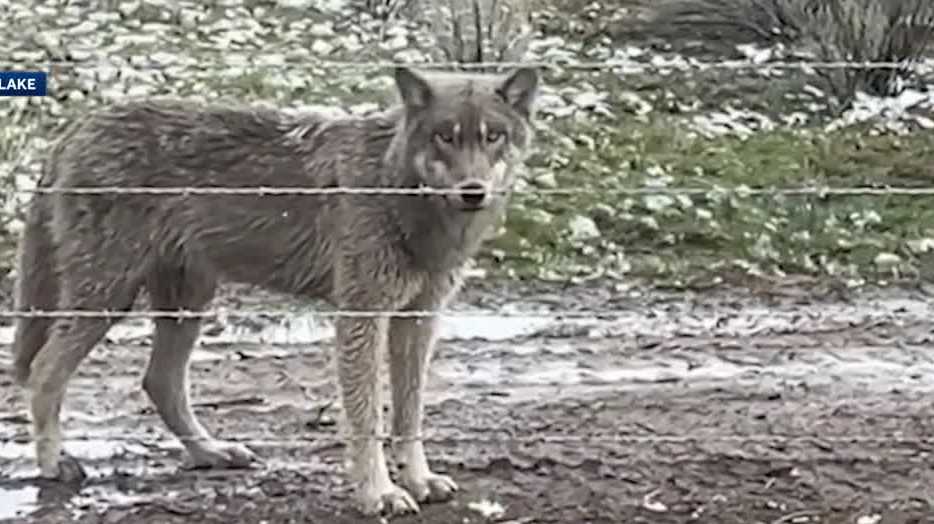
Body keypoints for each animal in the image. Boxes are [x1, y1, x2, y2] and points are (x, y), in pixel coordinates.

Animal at [10, 65, 539, 516]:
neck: (398, 192)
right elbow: (366, 419)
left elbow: (409, 414)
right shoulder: (361, 317)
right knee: (45, 372)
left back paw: (209, 451)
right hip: (110, 298)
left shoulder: (418, 320)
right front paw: (378, 494)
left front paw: (418, 480)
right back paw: (54, 465)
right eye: (445, 136)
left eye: (493, 137)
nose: (473, 191)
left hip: (188, 303)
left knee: (159, 381)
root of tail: (75, 129)